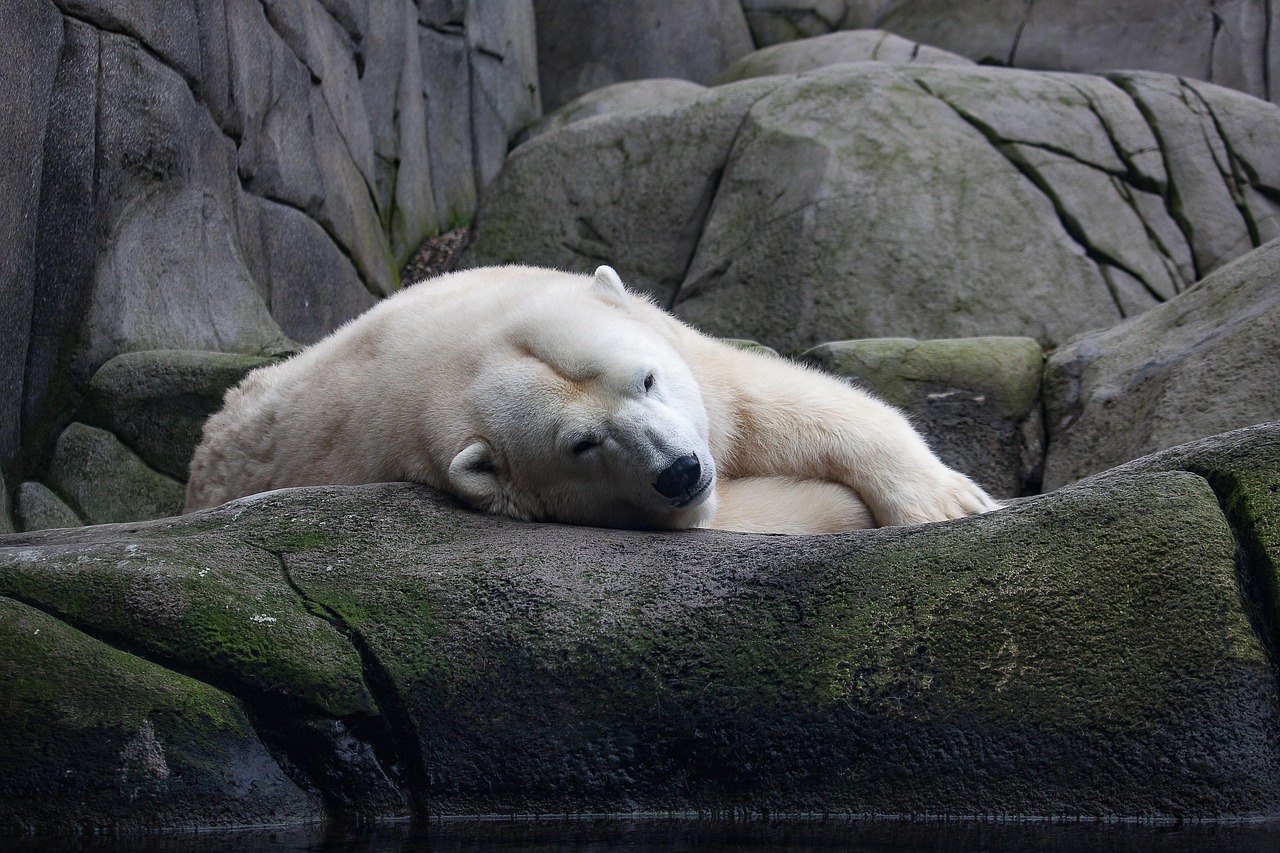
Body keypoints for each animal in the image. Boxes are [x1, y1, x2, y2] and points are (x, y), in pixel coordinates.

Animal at [185, 265, 999, 534]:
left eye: (645, 378)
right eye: (583, 445)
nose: (680, 469)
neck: (458, 350)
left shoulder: (686, 356)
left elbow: (782, 402)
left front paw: (951, 503)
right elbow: (755, 511)